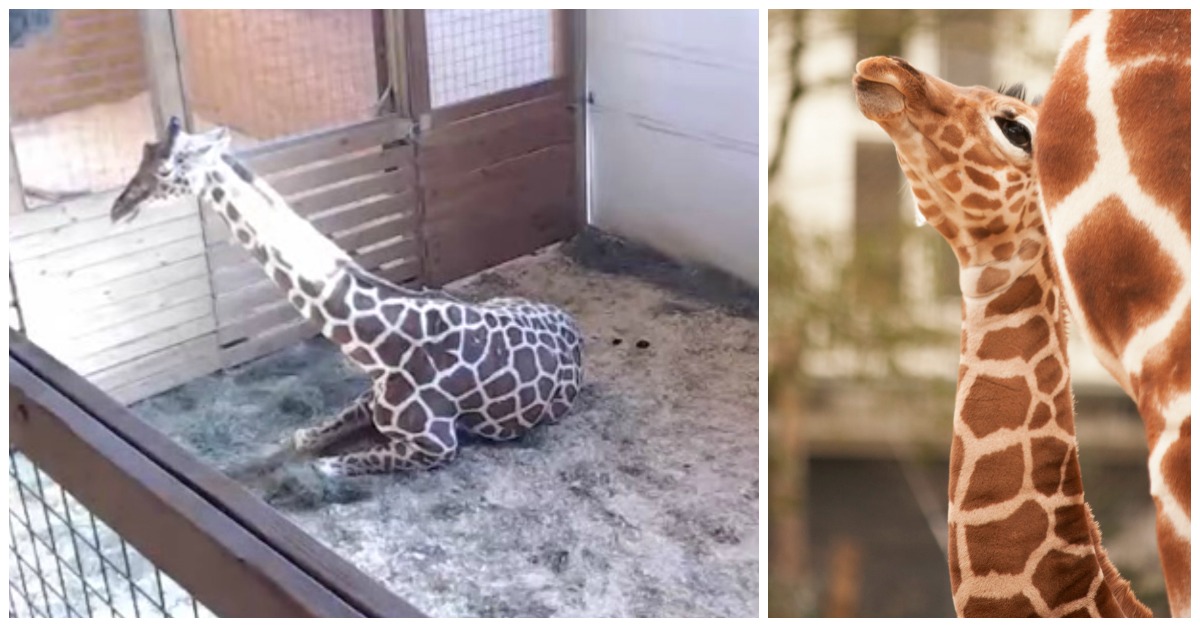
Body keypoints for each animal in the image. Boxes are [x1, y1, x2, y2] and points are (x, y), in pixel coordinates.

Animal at [110, 117, 584, 476]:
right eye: (144, 152)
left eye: (166, 170)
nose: (117, 209)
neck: (382, 349)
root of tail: (571, 323)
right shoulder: (368, 403)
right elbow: (304, 438)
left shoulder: (437, 445)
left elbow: (328, 466)